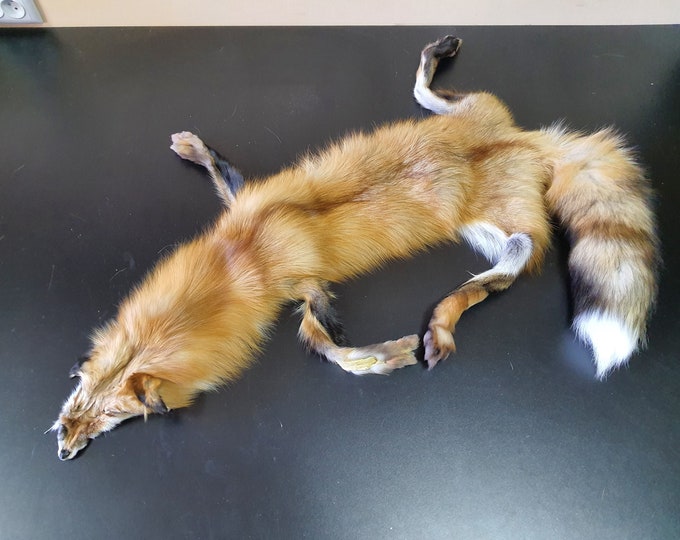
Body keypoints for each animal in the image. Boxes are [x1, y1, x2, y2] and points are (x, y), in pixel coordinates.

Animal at [52, 36, 658, 460]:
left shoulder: (305, 286)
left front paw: (381, 358)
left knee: (500, 275)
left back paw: (443, 322)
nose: (61, 447)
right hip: (479, 136)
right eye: (76, 401)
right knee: (428, 95)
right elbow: (223, 171)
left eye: (114, 415)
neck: (240, 254)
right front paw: (196, 147)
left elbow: (331, 350)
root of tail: (527, 144)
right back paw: (436, 56)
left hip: (513, 233)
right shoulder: (244, 205)